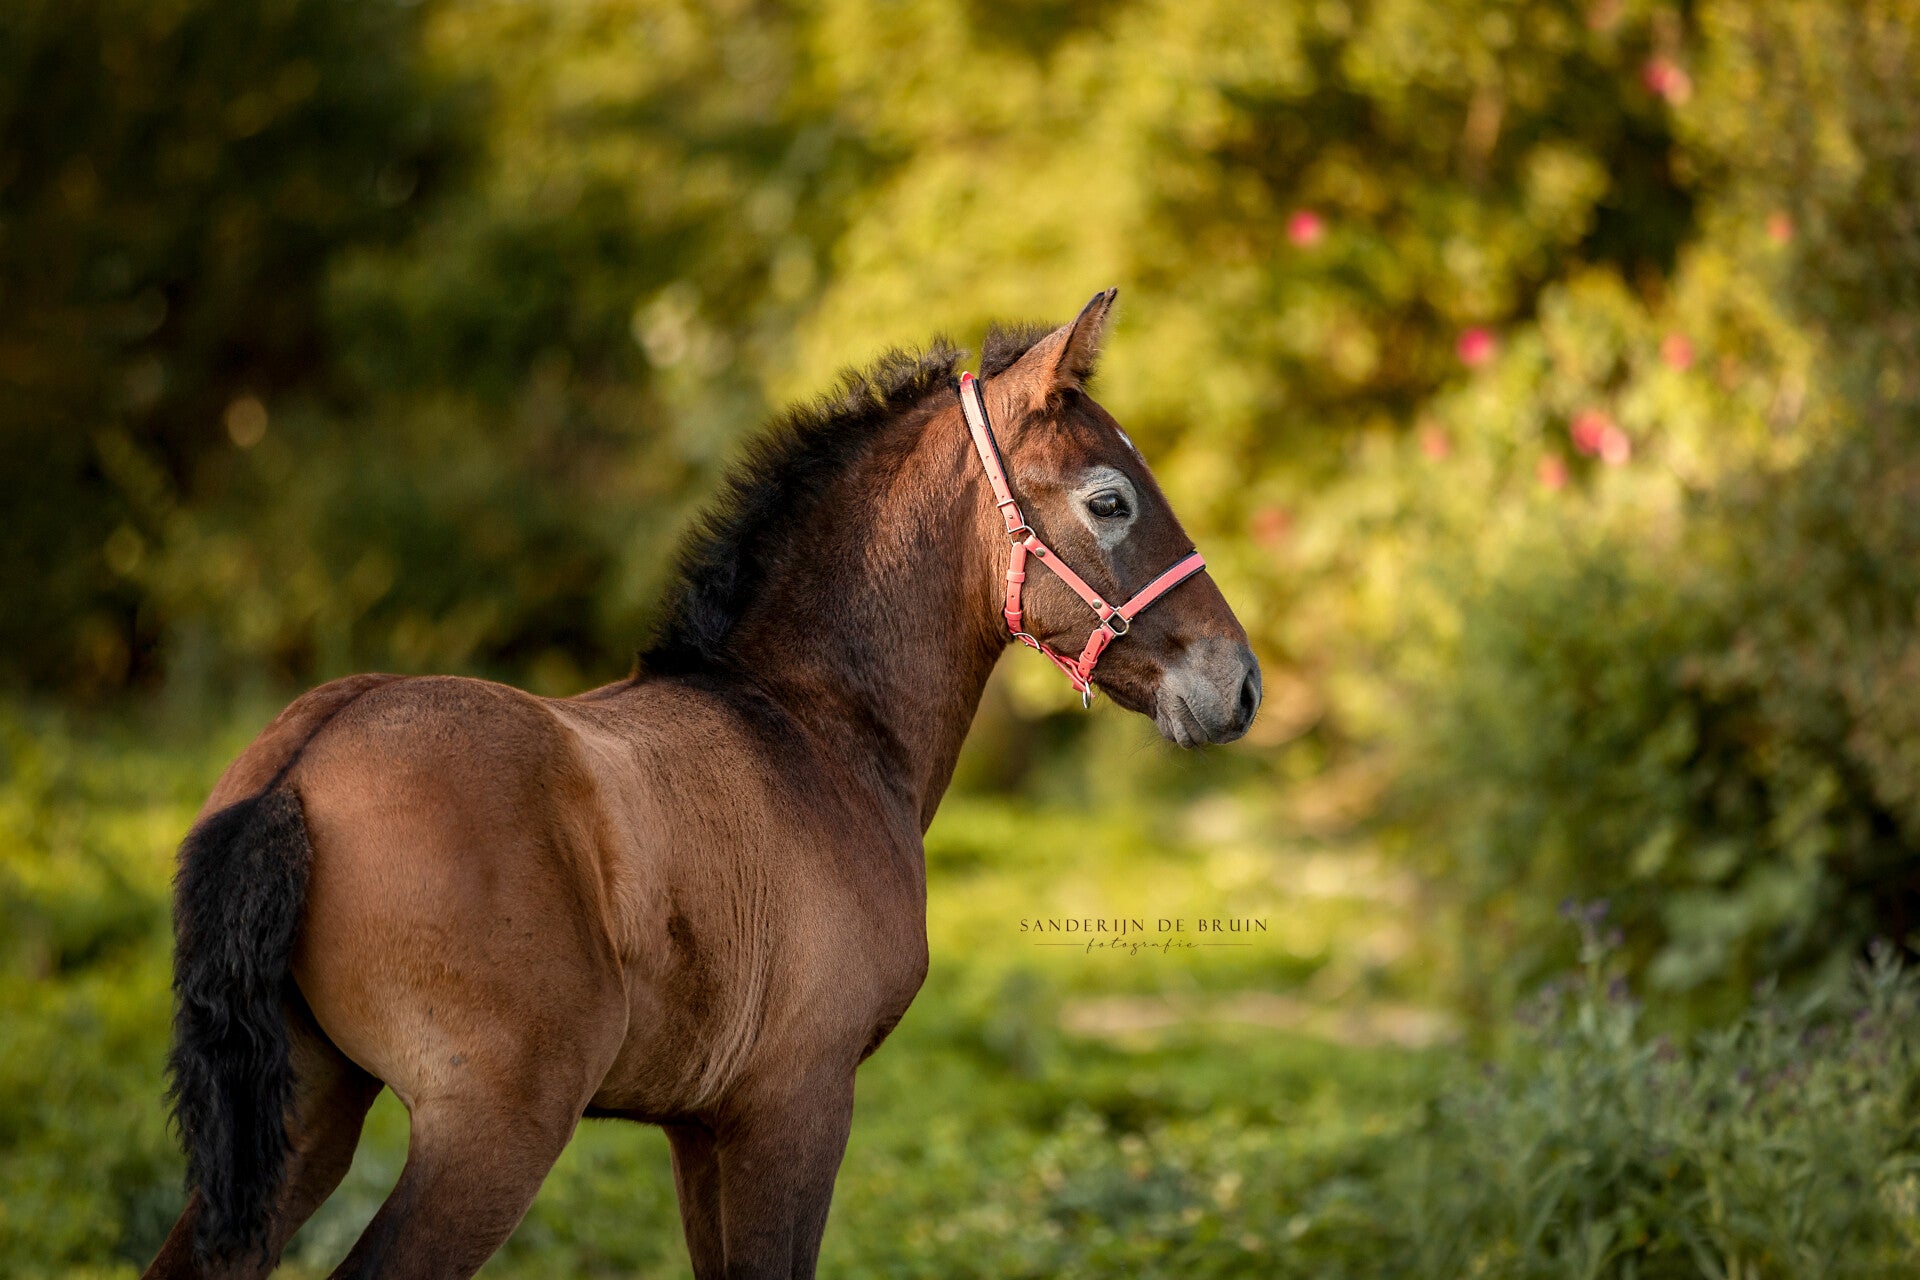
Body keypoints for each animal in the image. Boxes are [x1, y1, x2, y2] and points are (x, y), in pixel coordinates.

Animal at [142, 288, 1260, 1280]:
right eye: (1109, 499)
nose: (1239, 683)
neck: (811, 726)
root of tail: (303, 763)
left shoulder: (700, 1125)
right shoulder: (798, 1103)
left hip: (306, 1113)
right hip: (493, 1131)